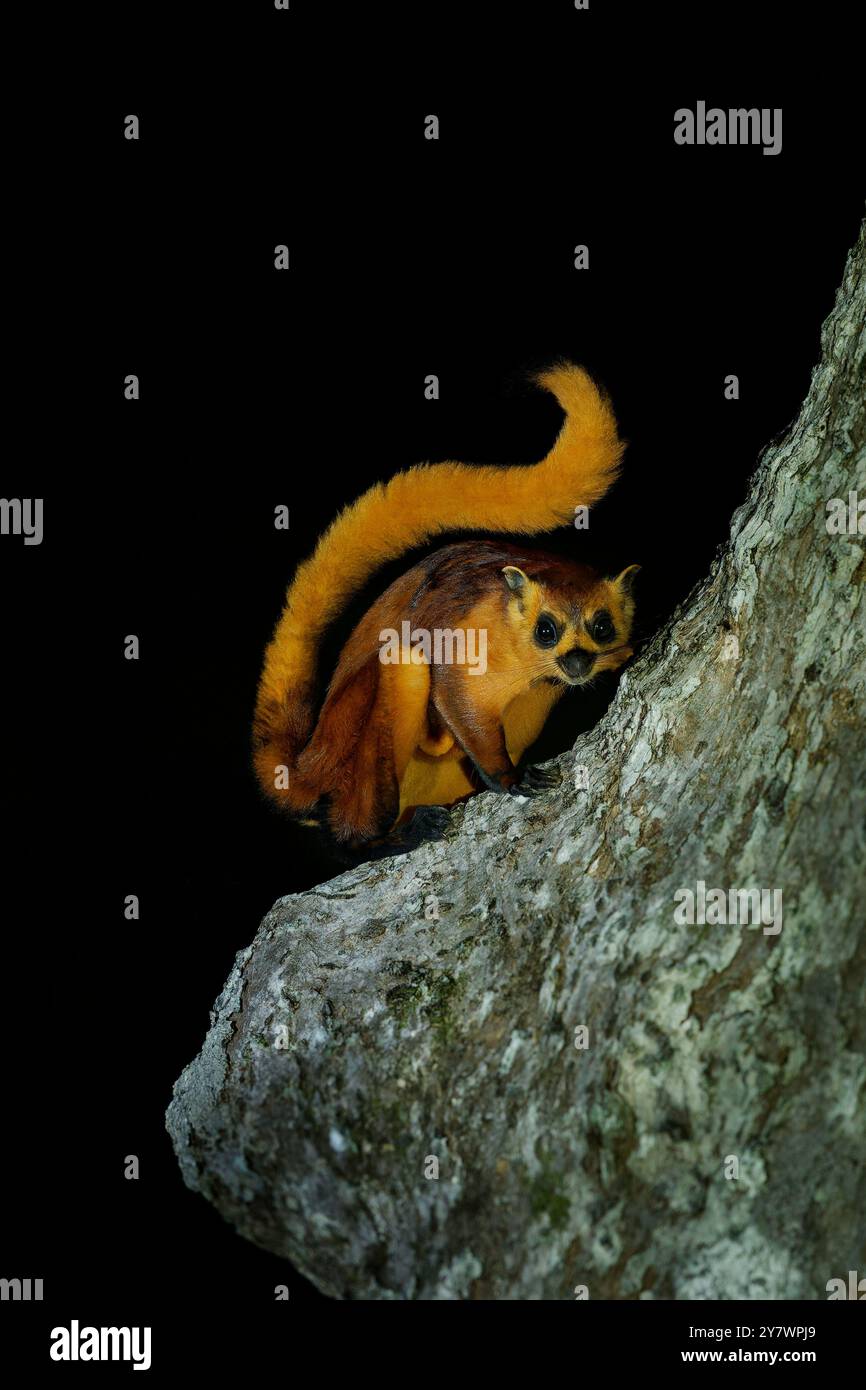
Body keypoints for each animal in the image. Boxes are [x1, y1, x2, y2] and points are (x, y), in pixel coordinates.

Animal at [253, 363, 639, 853]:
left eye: (602, 627)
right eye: (546, 630)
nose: (575, 662)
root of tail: (314, 760)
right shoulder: (477, 631)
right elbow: (456, 693)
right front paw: (507, 777)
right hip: (350, 751)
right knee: (405, 668)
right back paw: (373, 836)